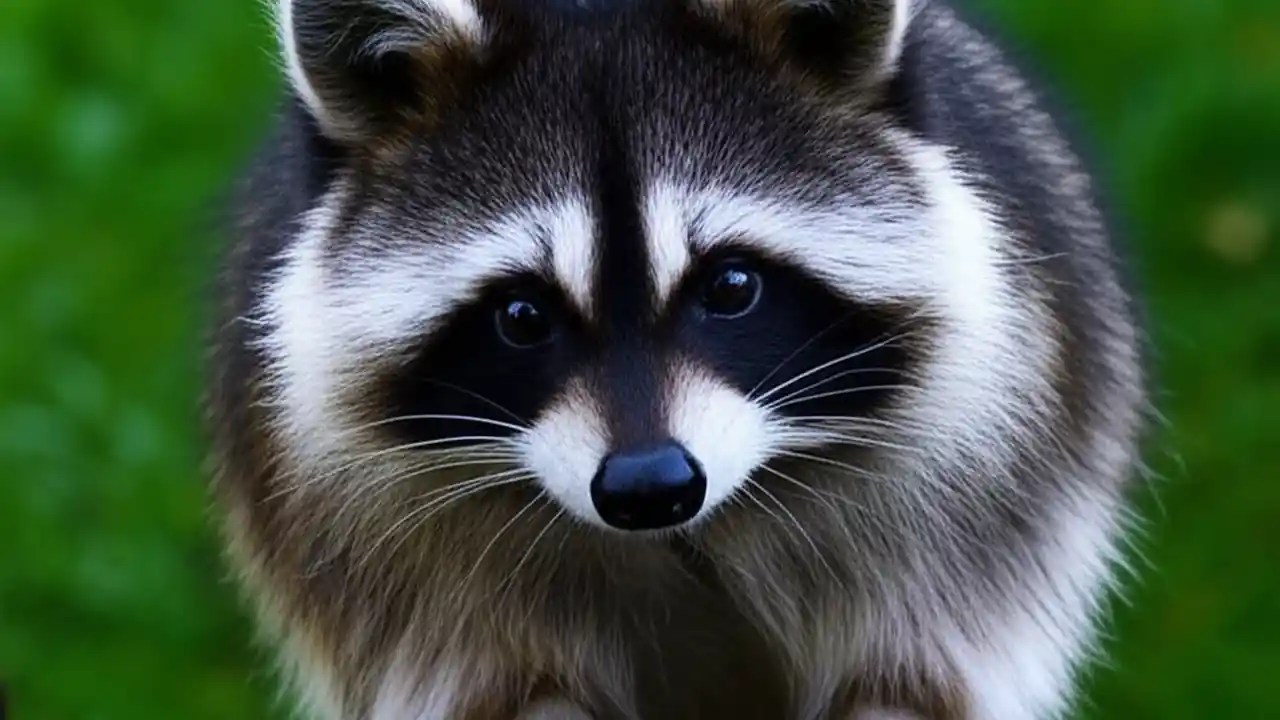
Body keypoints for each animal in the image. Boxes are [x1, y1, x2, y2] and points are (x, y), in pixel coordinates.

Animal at [207, 0, 1146, 718]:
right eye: (522, 315)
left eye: (730, 286)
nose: (648, 486)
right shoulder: (403, 569)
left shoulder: (969, 523)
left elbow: (914, 679)